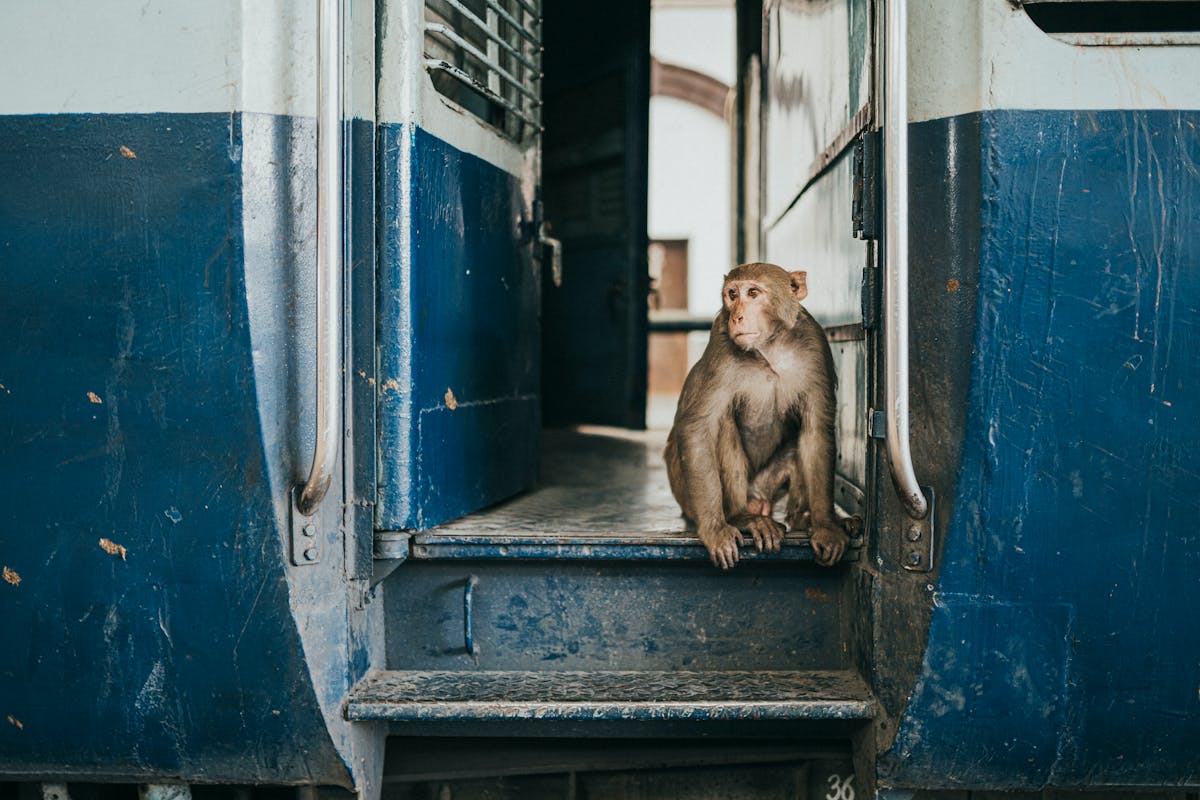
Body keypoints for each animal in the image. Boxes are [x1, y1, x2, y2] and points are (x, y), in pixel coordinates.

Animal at [663, 262, 850, 569]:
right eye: (732, 294)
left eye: (753, 293)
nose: (737, 317)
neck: (770, 347)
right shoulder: (720, 345)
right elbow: (697, 427)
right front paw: (713, 529)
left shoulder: (816, 346)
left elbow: (816, 431)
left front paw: (826, 526)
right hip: (689, 497)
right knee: (722, 424)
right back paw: (741, 517)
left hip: (766, 485)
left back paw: (803, 518)